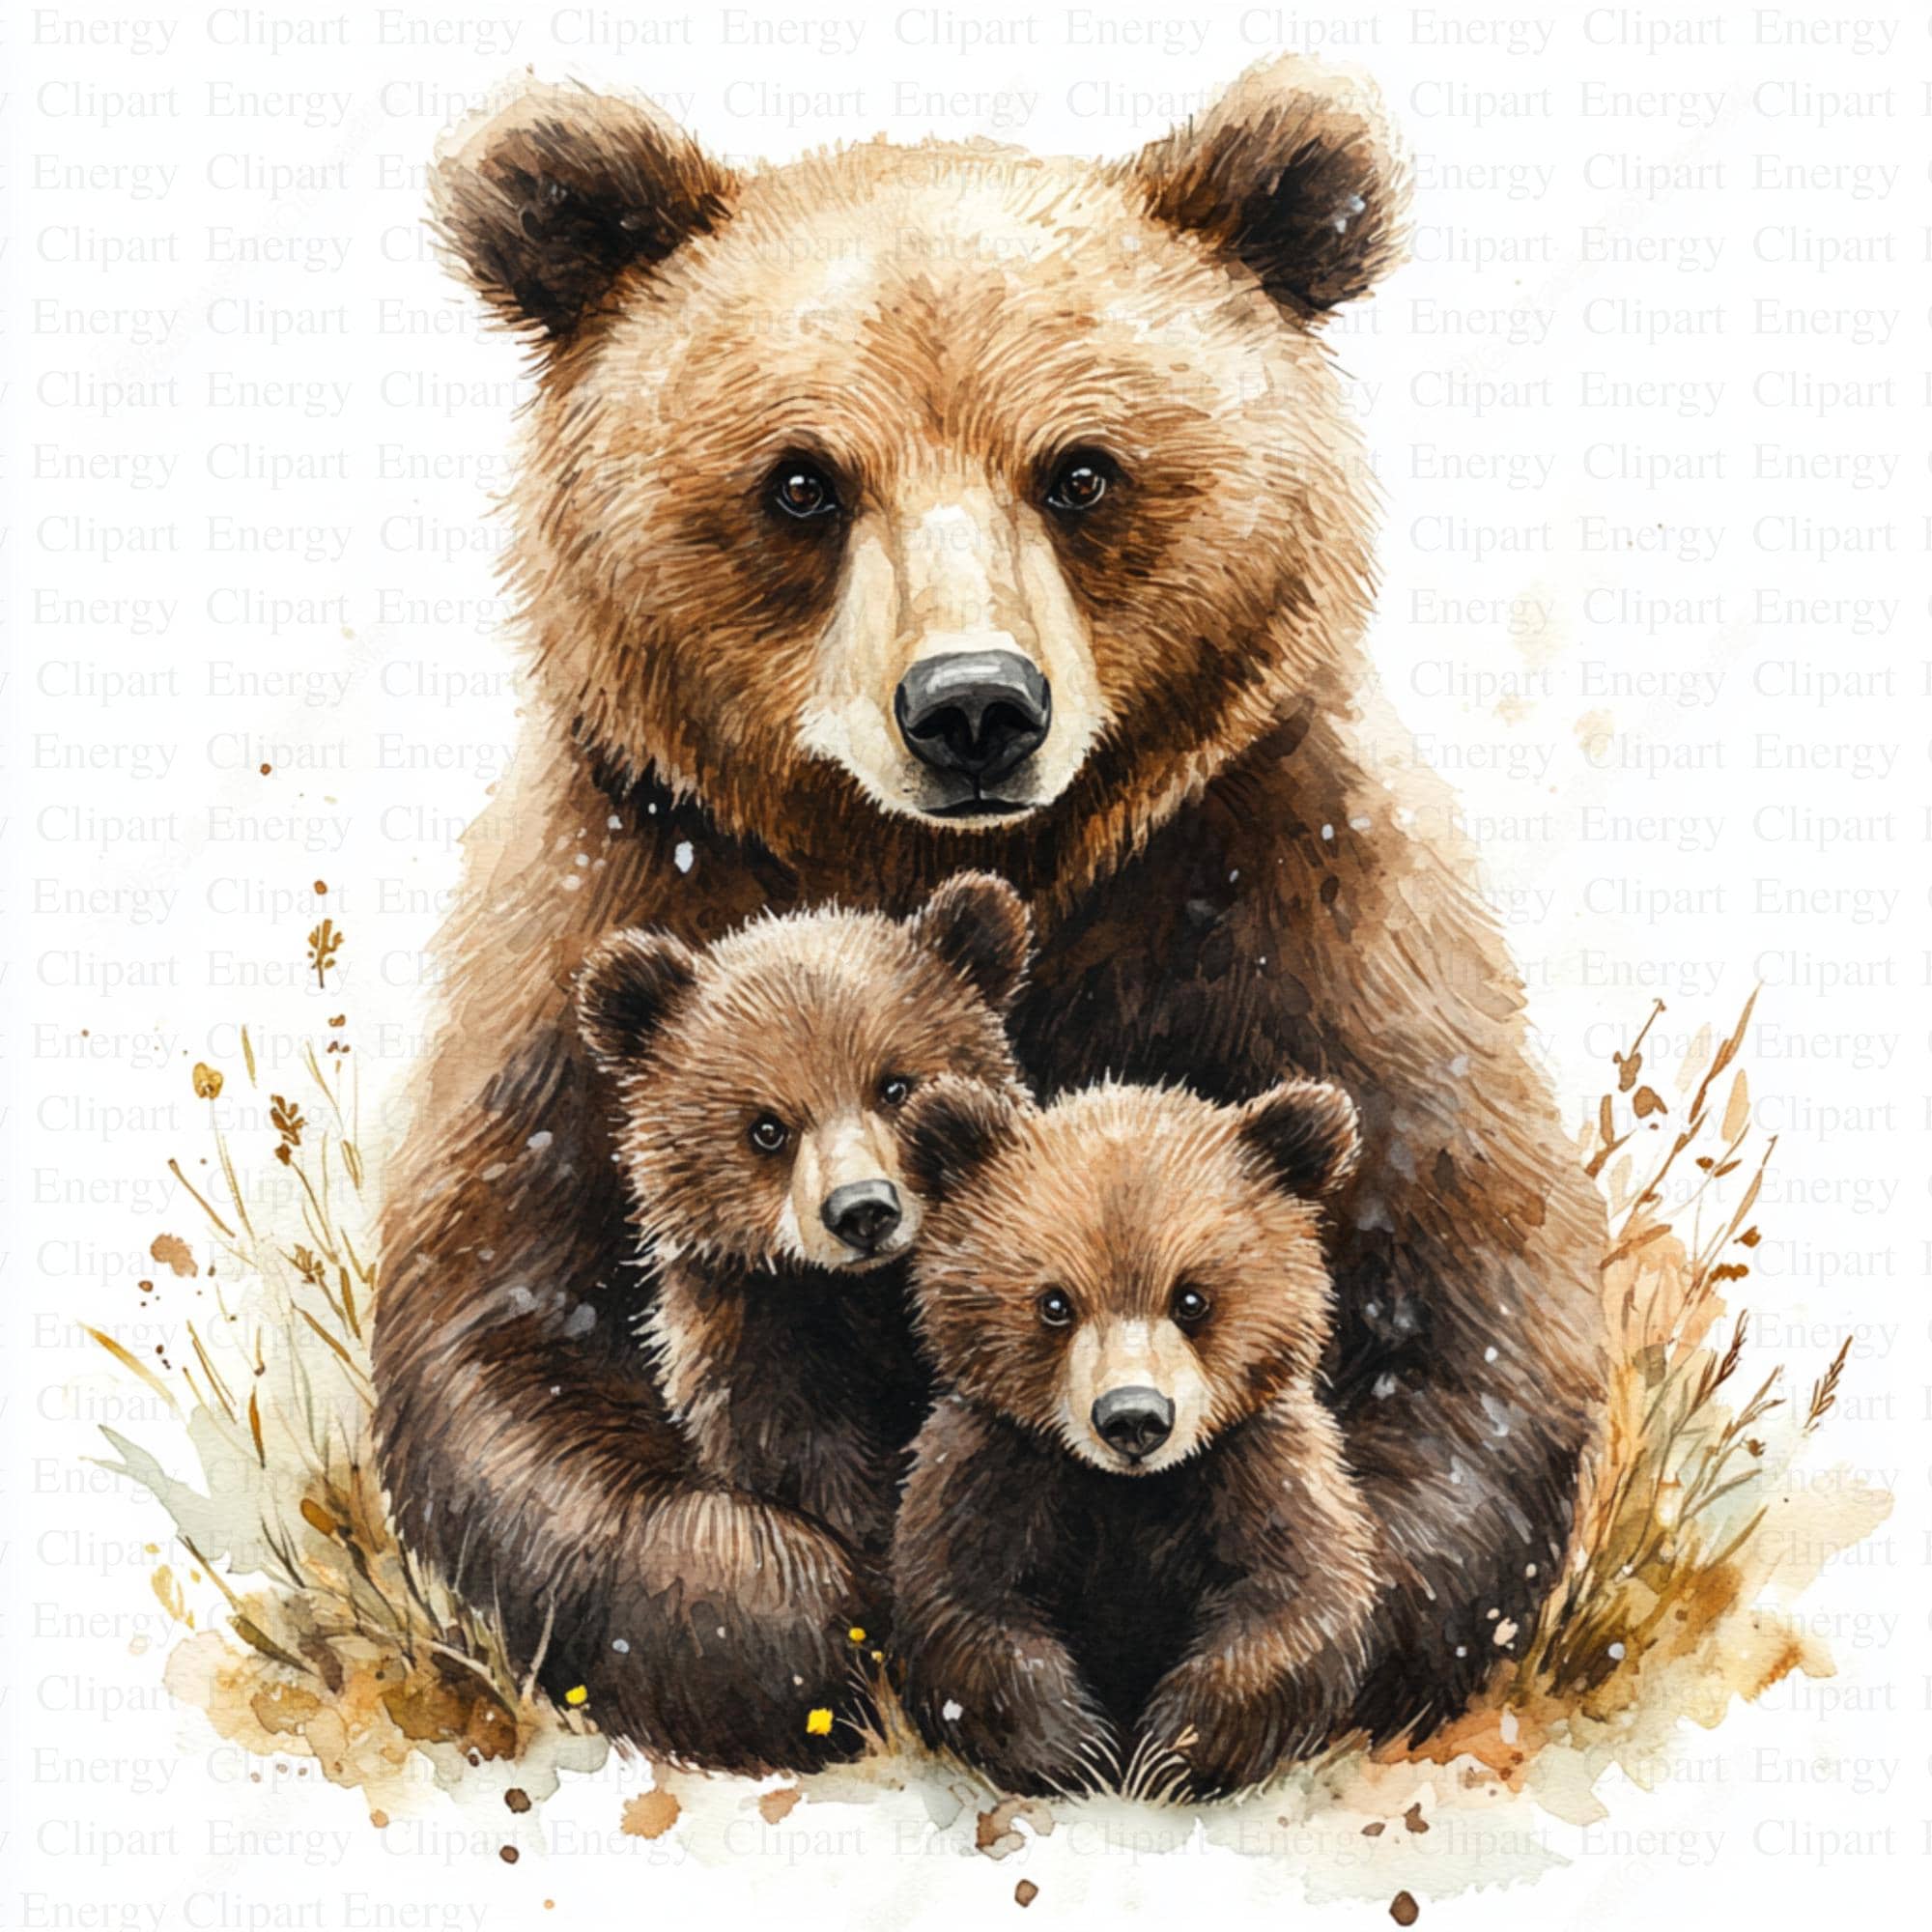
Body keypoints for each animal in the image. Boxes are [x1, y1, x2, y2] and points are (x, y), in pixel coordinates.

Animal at [889, 1074, 1376, 1800]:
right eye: (1054, 1303)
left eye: (1192, 1298)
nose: (1134, 1417)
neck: (1126, 1492)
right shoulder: (994, 1468)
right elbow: (963, 1604)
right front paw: (1076, 1751)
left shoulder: (1258, 1467)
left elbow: (1297, 1600)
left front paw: (1172, 1754)